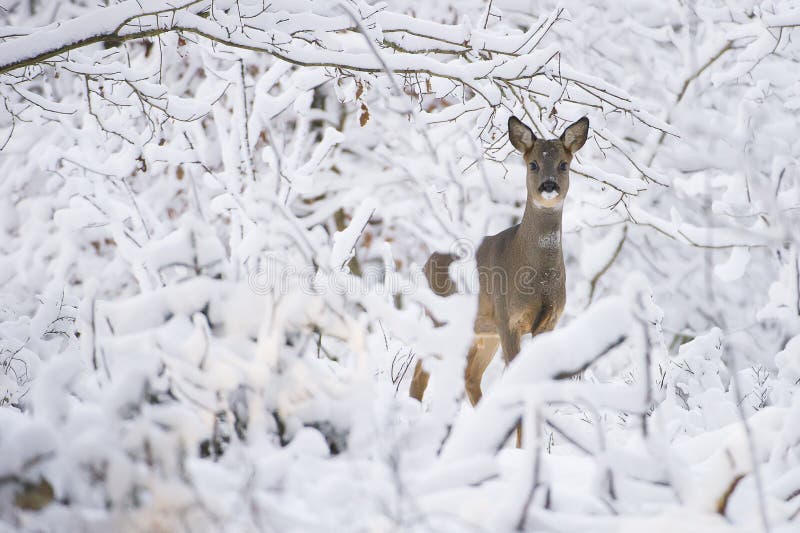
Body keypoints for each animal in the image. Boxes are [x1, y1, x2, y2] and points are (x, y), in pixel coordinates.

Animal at [409, 116, 589, 445]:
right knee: (421, 374)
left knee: (469, 376)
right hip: (442, 319)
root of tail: (427, 262)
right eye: (532, 164)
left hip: (482, 332)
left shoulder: (547, 323)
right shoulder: (509, 319)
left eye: (563, 164)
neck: (537, 277)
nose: (548, 186)